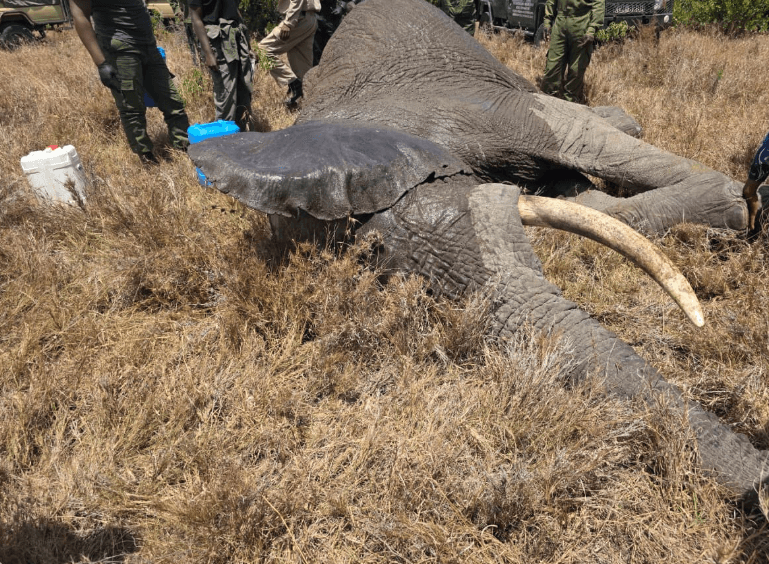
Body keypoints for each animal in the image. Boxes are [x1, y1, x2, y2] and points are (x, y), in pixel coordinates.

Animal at [188, 0, 769, 508]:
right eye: (373, 257)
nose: (760, 485)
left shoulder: (479, 107)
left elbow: (578, 148)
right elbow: (583, 201)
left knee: (603, 138)